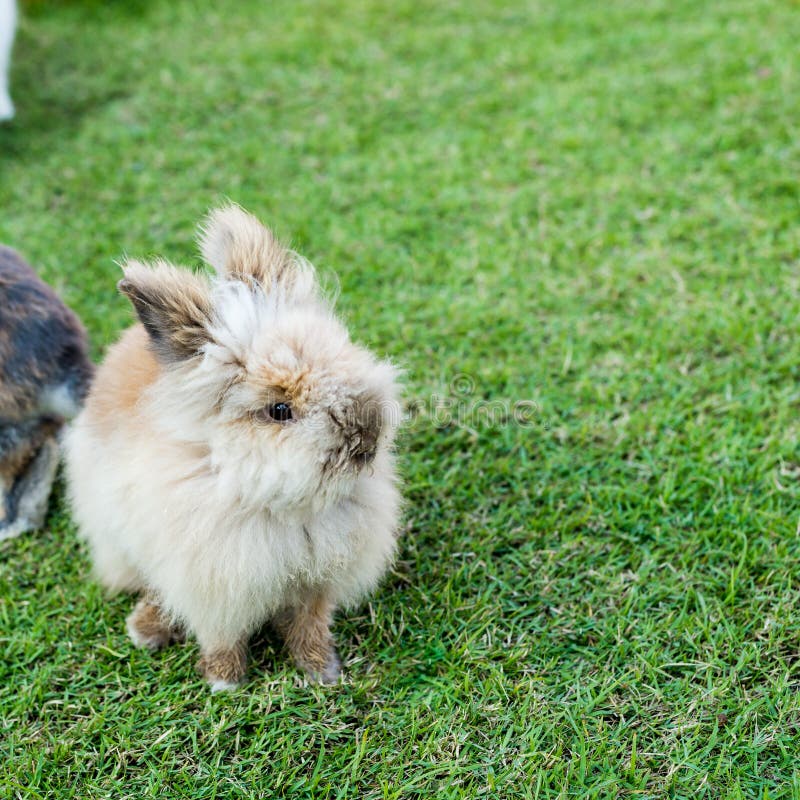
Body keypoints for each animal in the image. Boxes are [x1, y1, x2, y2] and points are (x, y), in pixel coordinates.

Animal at [65, 205, 402, 691]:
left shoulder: (315, 584)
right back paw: (145, 630)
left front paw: (322, 671)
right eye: (280, 409)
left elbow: (310, 626)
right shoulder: (211, 587)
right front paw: (225, 681)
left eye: (344, 359)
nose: (367, 442)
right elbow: (220, 636)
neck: (277, 502)